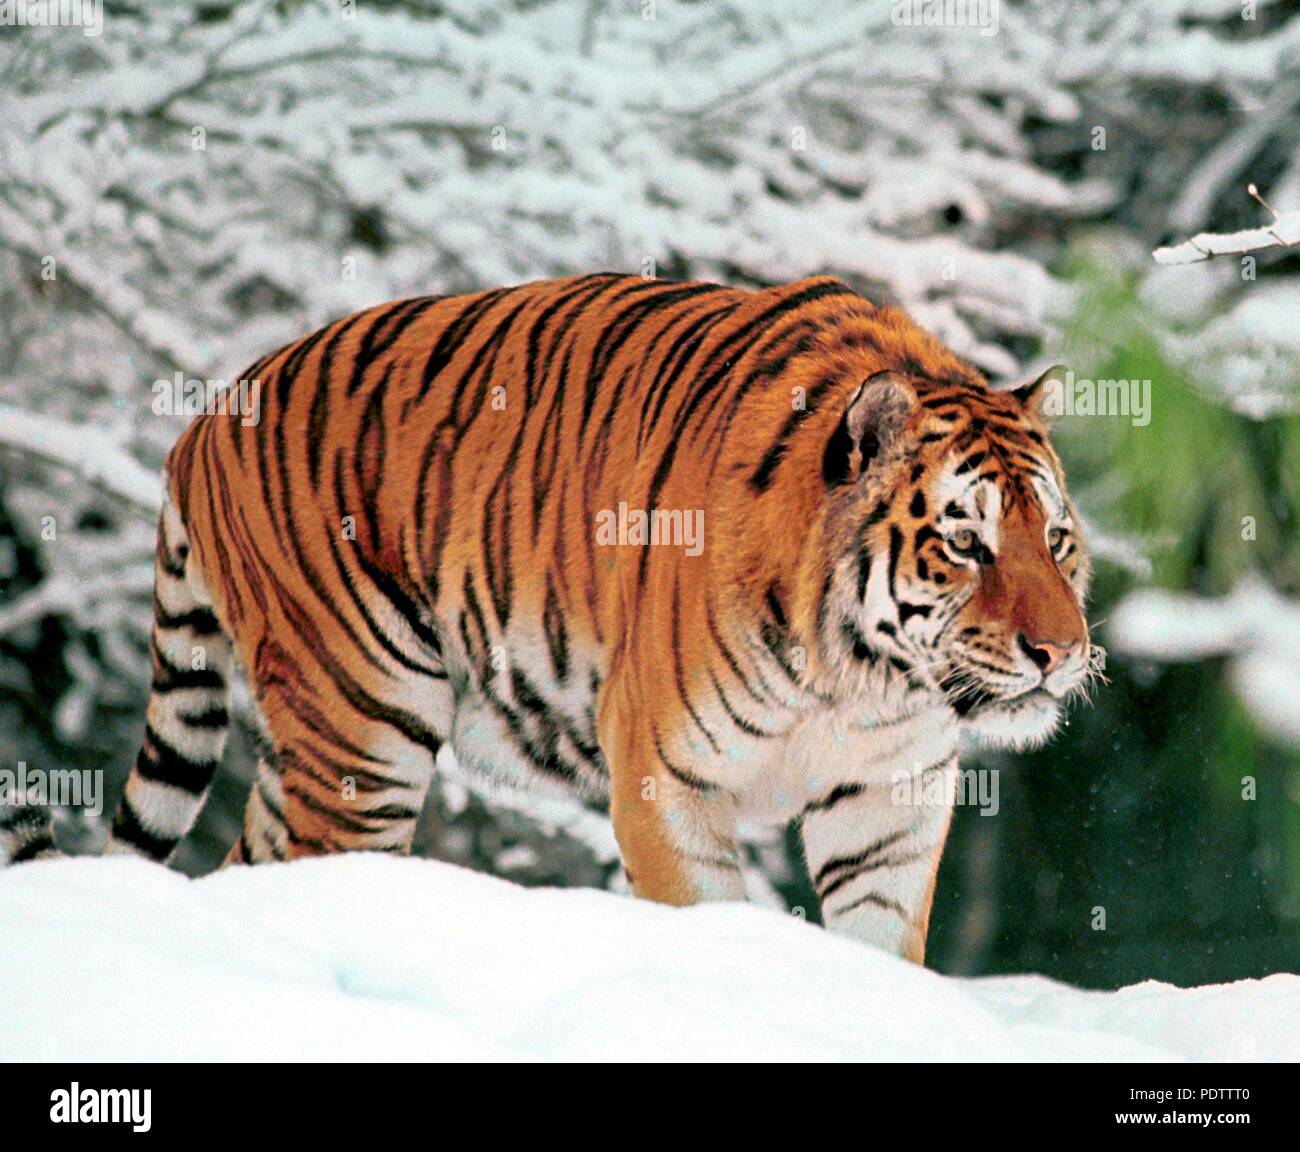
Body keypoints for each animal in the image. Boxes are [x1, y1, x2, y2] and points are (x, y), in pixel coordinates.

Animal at [3, 273, 1092, 963]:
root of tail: (201, 417)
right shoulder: (666, 780)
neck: (856, 675)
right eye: (966, 542)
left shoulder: (889, 799)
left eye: (1057, 539)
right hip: (365, 736)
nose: (1062, 653)